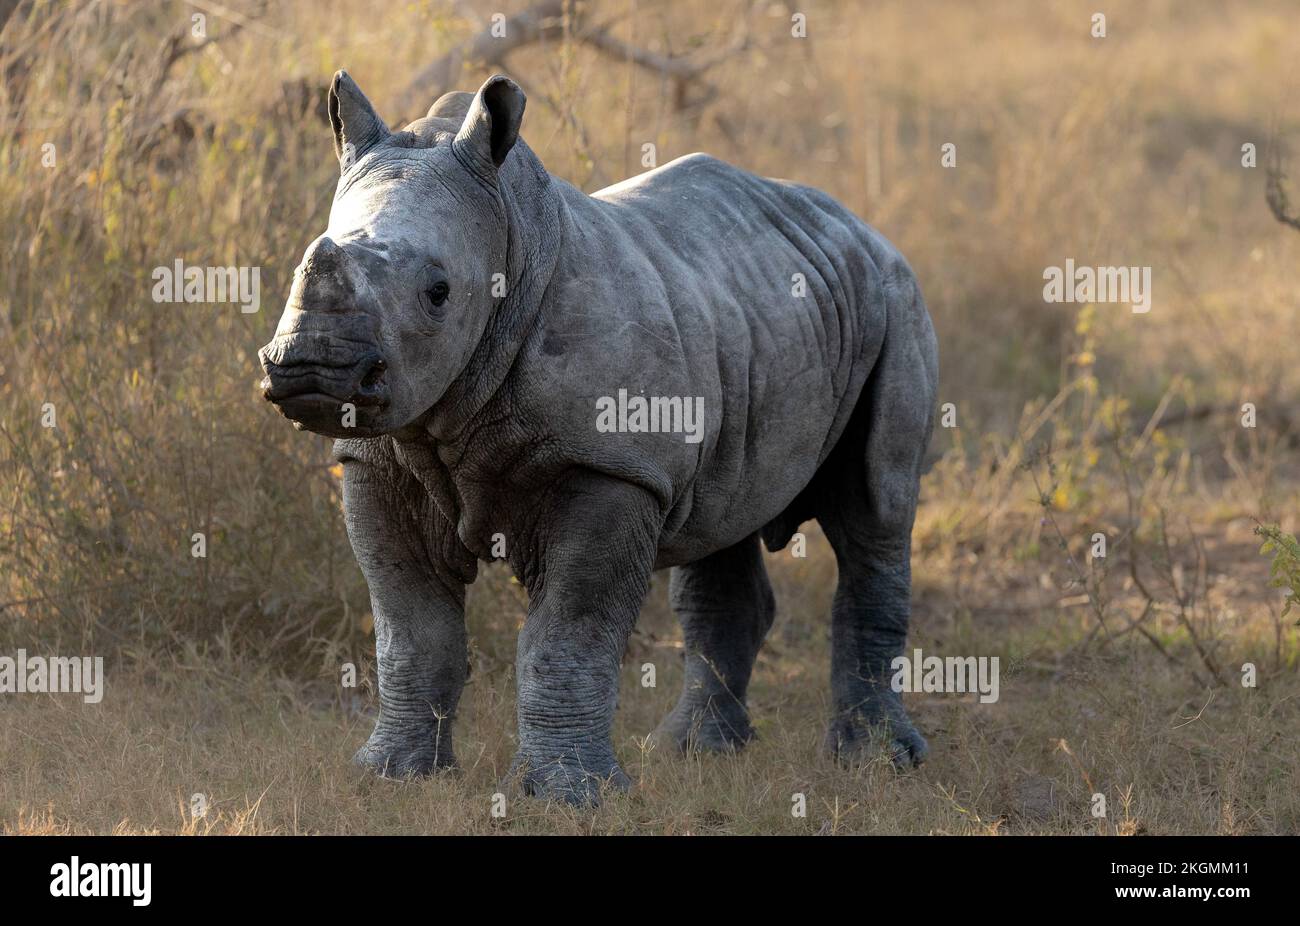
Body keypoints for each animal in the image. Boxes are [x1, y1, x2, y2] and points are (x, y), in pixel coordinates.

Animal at [258, 71, 939, 804]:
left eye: (439, 293)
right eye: (299, 268)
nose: (312, 367)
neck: (511, 238)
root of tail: (860, 225)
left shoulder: (612, 465)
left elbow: (567, 632)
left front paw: (568, 797)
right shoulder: (377, 459)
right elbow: (412, 631)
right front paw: (391, 775)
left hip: (895, 299)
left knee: (874, 510)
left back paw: (878, 761)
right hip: (741, 314)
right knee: (721, 522)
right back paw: (692, 752)